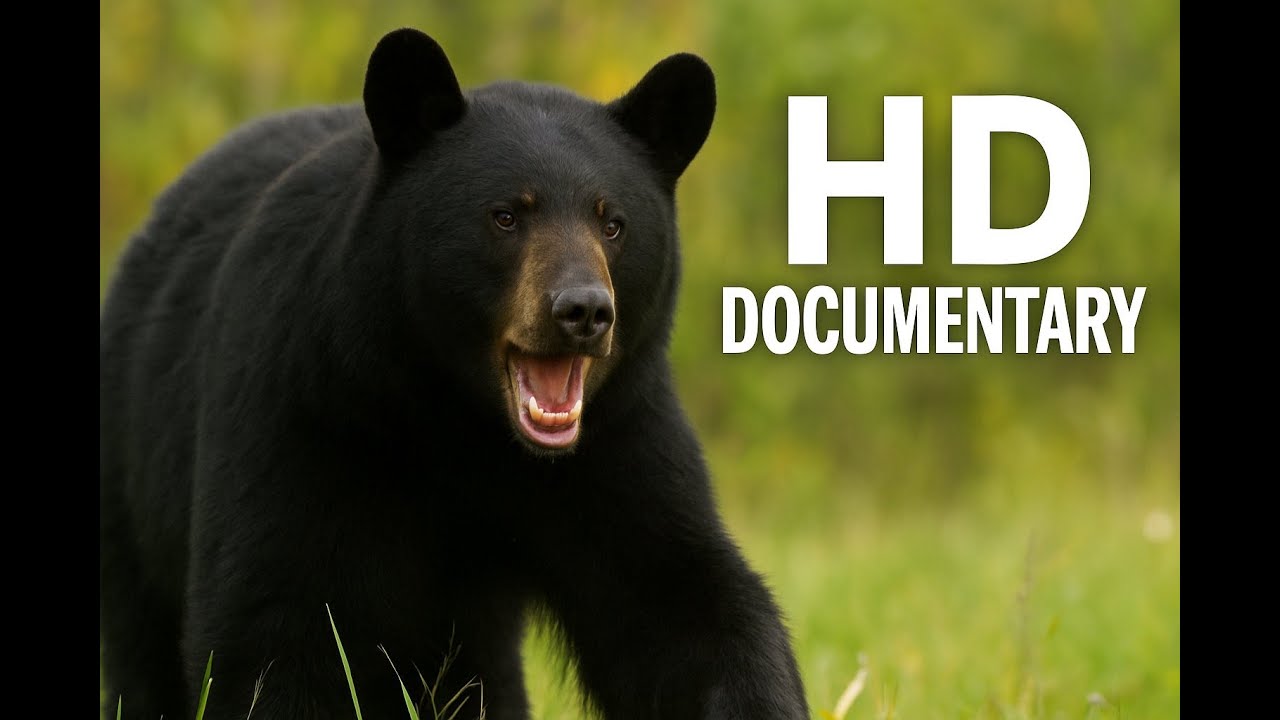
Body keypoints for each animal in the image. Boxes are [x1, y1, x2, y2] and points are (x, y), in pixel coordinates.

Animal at [100, 28, 808, 720]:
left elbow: (681, 604)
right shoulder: (308, 408)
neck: (464, 425)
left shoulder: (618, 433)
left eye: (613, 223)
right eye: (506, 215)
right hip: (132, 477)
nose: (583, 310)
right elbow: (273, 623)